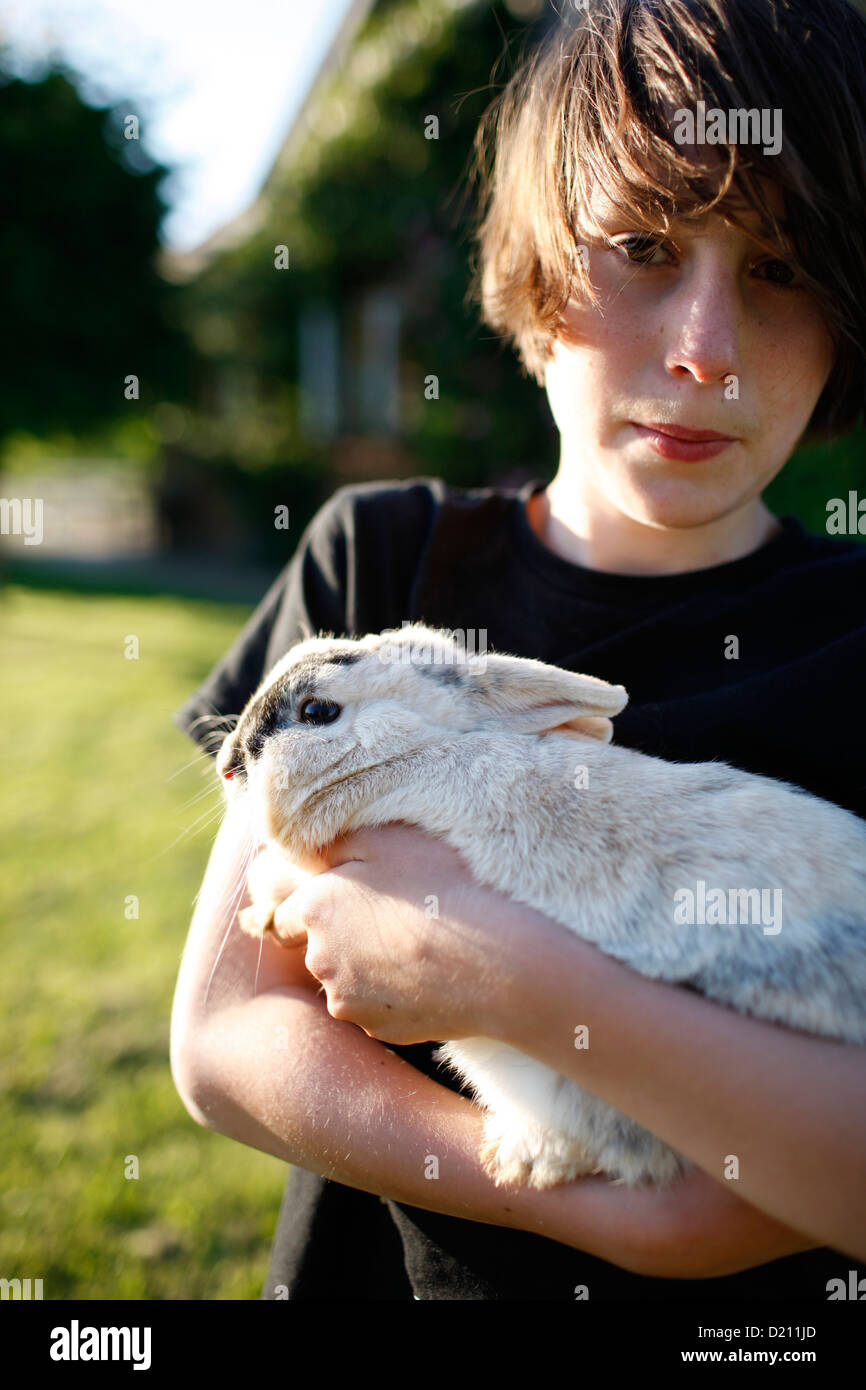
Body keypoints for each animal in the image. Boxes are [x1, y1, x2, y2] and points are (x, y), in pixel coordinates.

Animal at [215, 622, 866, 1190]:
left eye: (318, 712)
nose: (228, 763)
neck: (423, 748)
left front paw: (263, 913)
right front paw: (257, 916)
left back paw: (518, 1159)